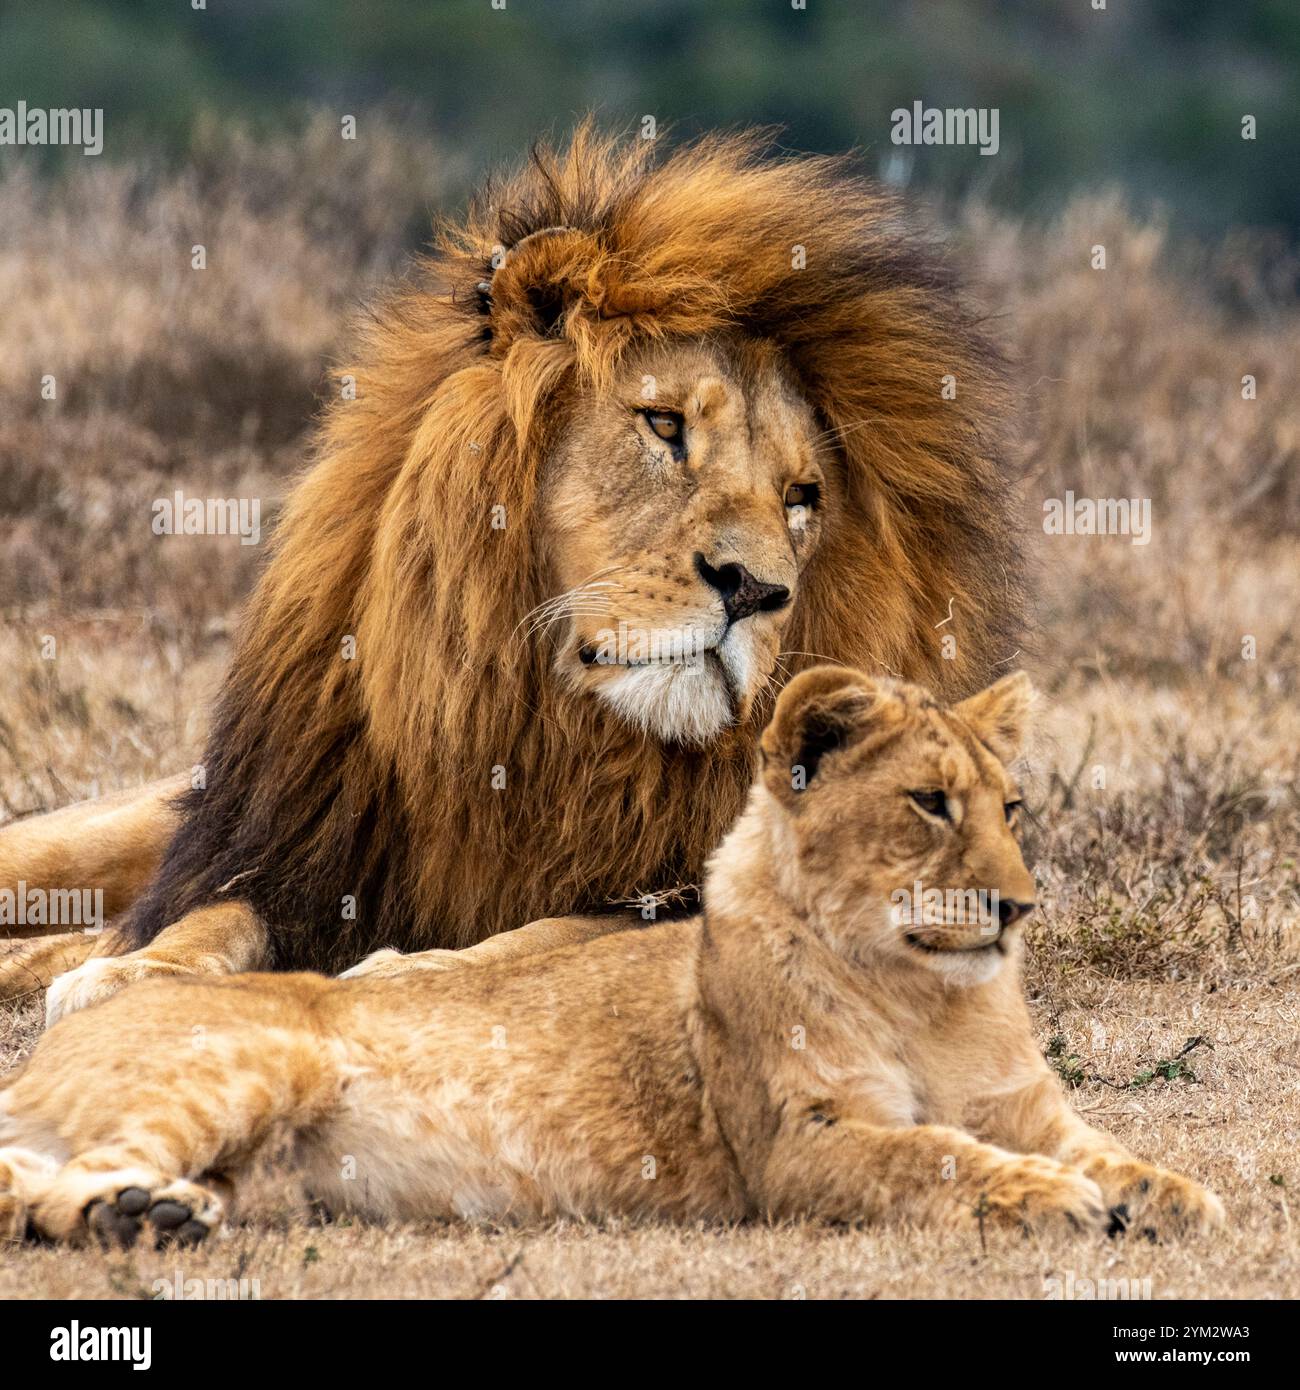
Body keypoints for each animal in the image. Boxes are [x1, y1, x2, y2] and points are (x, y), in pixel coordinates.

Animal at [0, 124, 1022, 1021]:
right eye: (664, 425)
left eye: (802, 496)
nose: (757, 590)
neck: (551, 729)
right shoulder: (292, 848)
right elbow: (211, 916)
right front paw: (137, 974)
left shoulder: (681, 892)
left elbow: (543, 938)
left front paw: (402, 976)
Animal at [0, 667, 1223, 1244]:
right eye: (930, 803)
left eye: (1014, 807)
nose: (1018, 907)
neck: (928, 996)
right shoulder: (798, 1148)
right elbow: (939, 1156)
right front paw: (1057, 1199)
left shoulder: (1032, 1110)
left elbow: (1114, 1153)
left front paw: (1172, 1196)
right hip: (237, 1062)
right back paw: (131, 1211)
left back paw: (137, 1215)